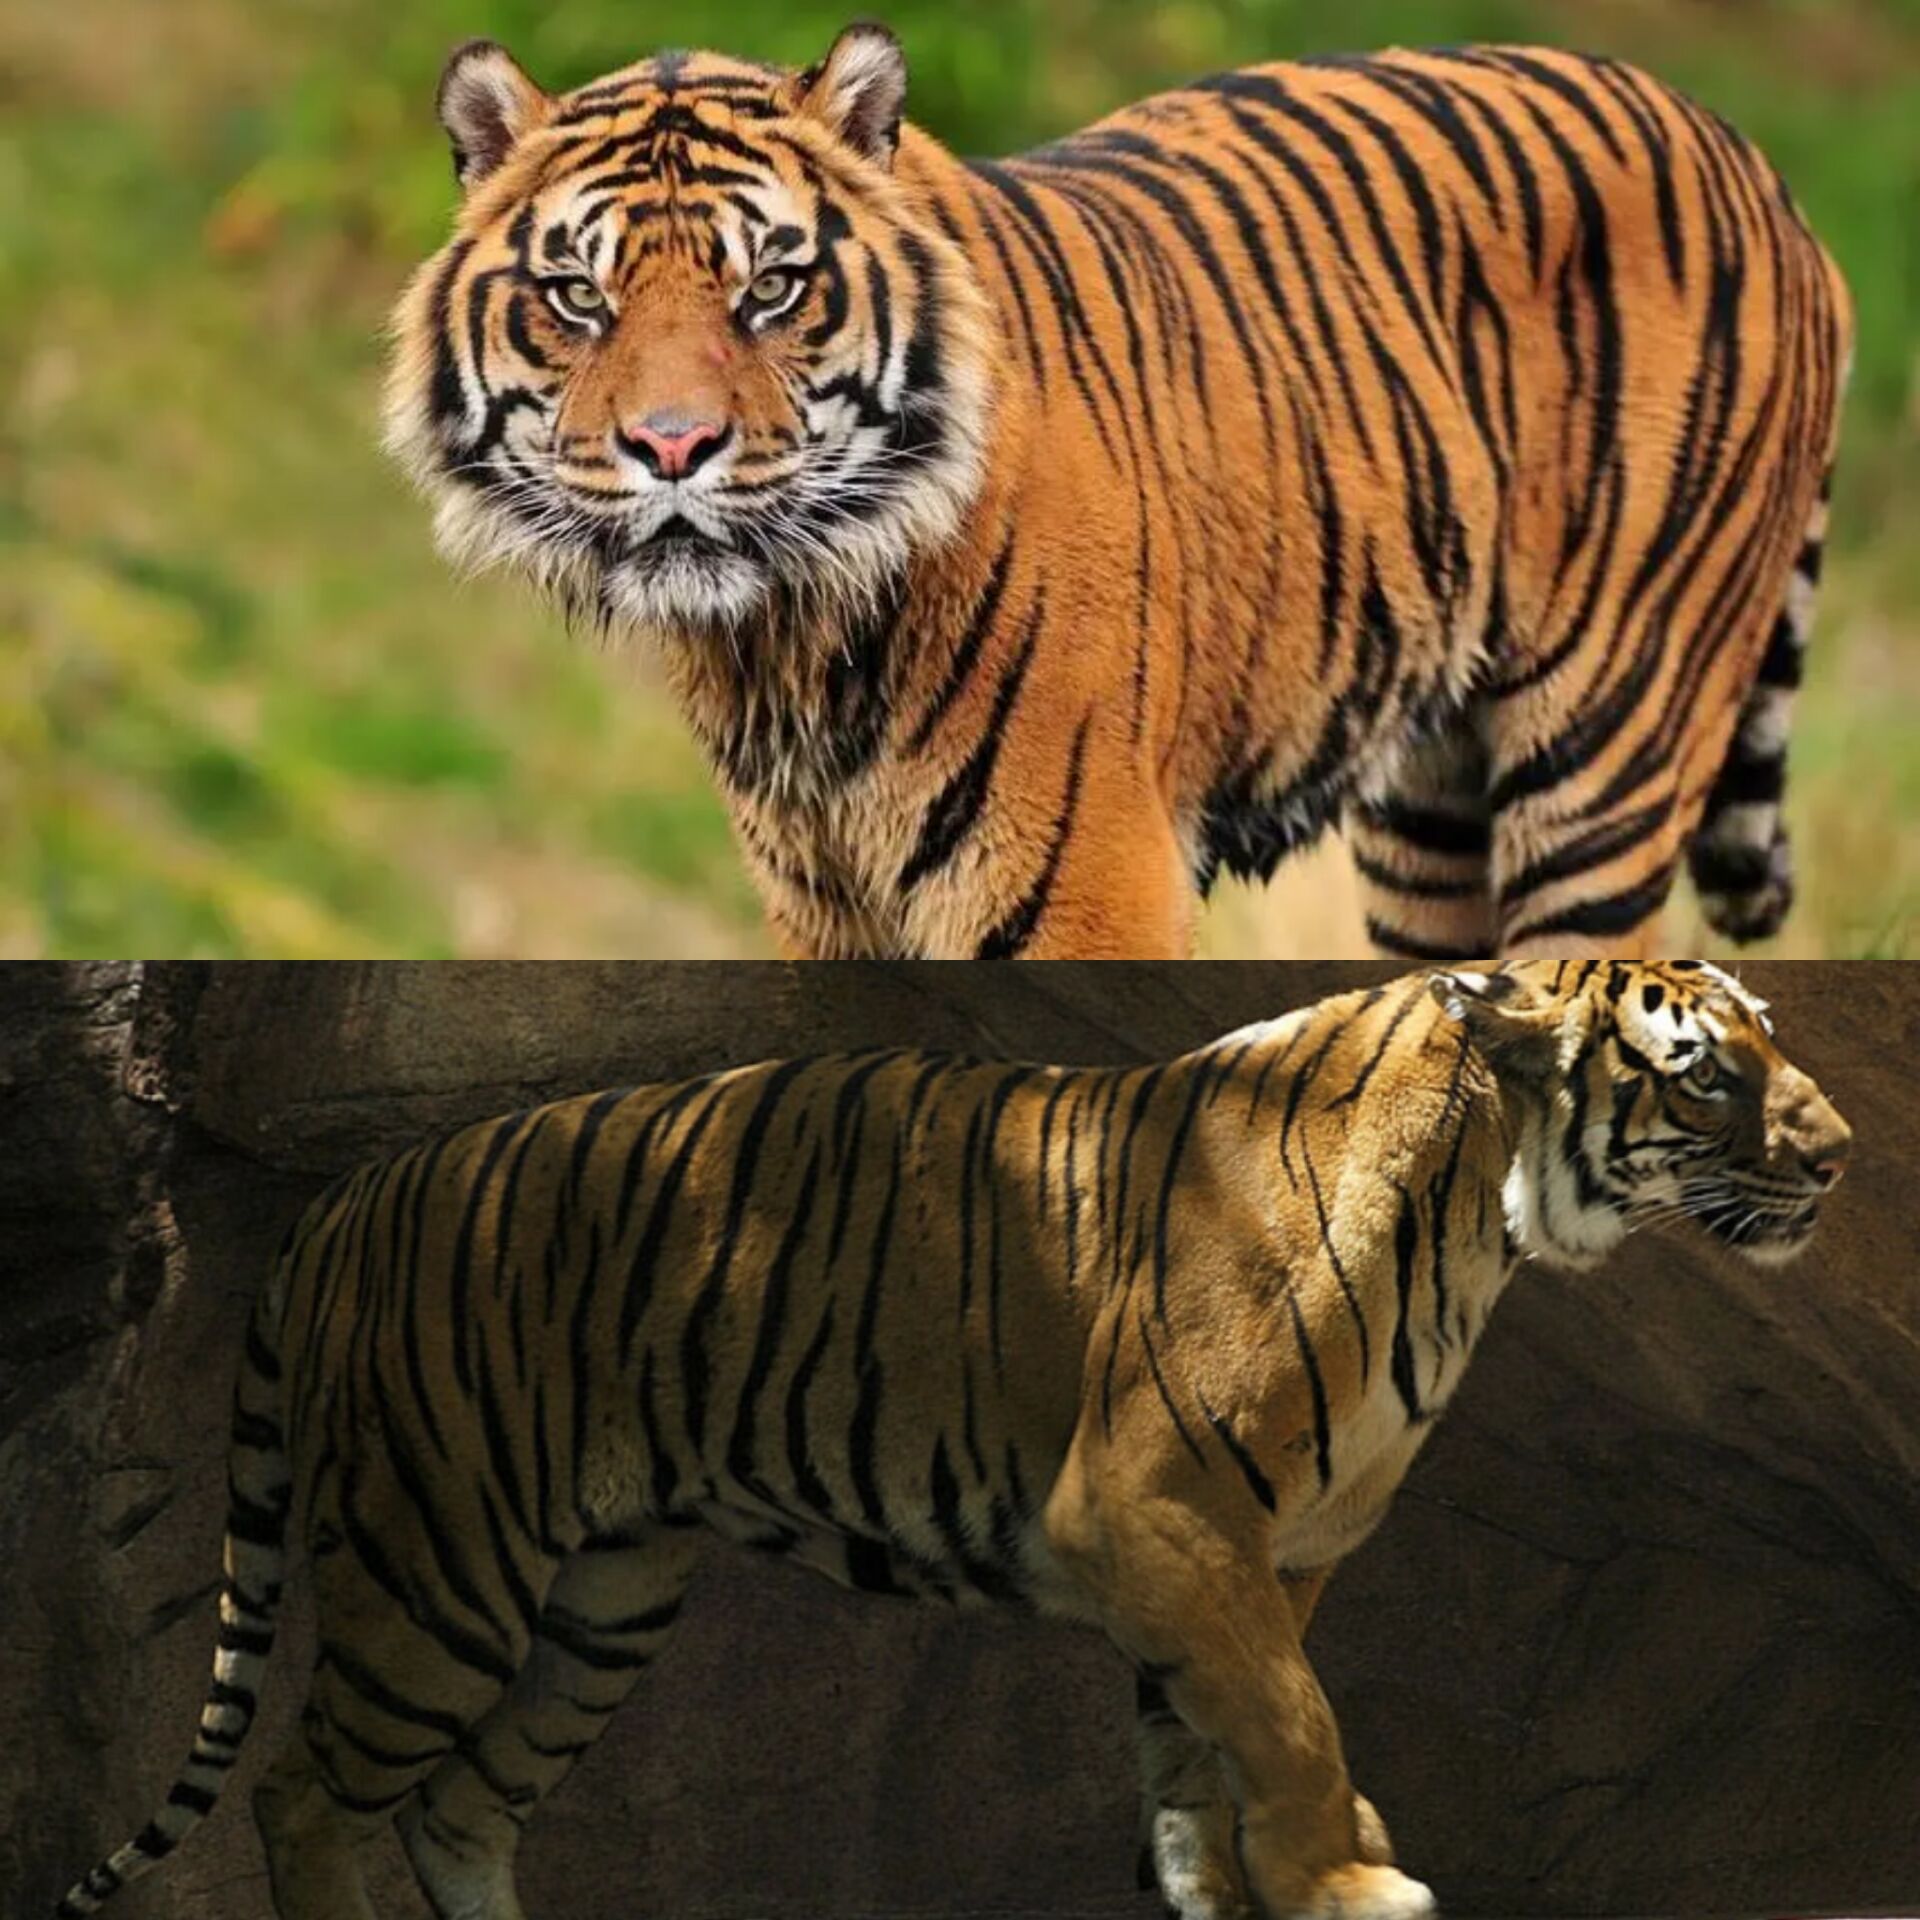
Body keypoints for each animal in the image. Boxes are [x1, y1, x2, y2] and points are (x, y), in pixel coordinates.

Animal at [55, 959, 1850, 1920]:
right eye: (1706, 1073)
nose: (1838, 1155)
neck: (1485, 1214)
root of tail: (350, 1198)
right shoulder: (1155, 1510)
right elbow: (1292, 1728)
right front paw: (1354, 1883)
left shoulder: (1256, 1557)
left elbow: (1212, 1766)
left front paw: (1256, 1886)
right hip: (444, 1566)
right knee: (305, 1791)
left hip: (604, 1598)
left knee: (462, 1808)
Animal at [384, 25, 1852, 961]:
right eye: (580, 296)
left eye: (775, 288)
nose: (673, 447)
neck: (784, 639)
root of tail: (1766, 172)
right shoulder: (820, 905)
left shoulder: (1087, 880)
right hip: (1435, 814)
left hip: (1606, 748)